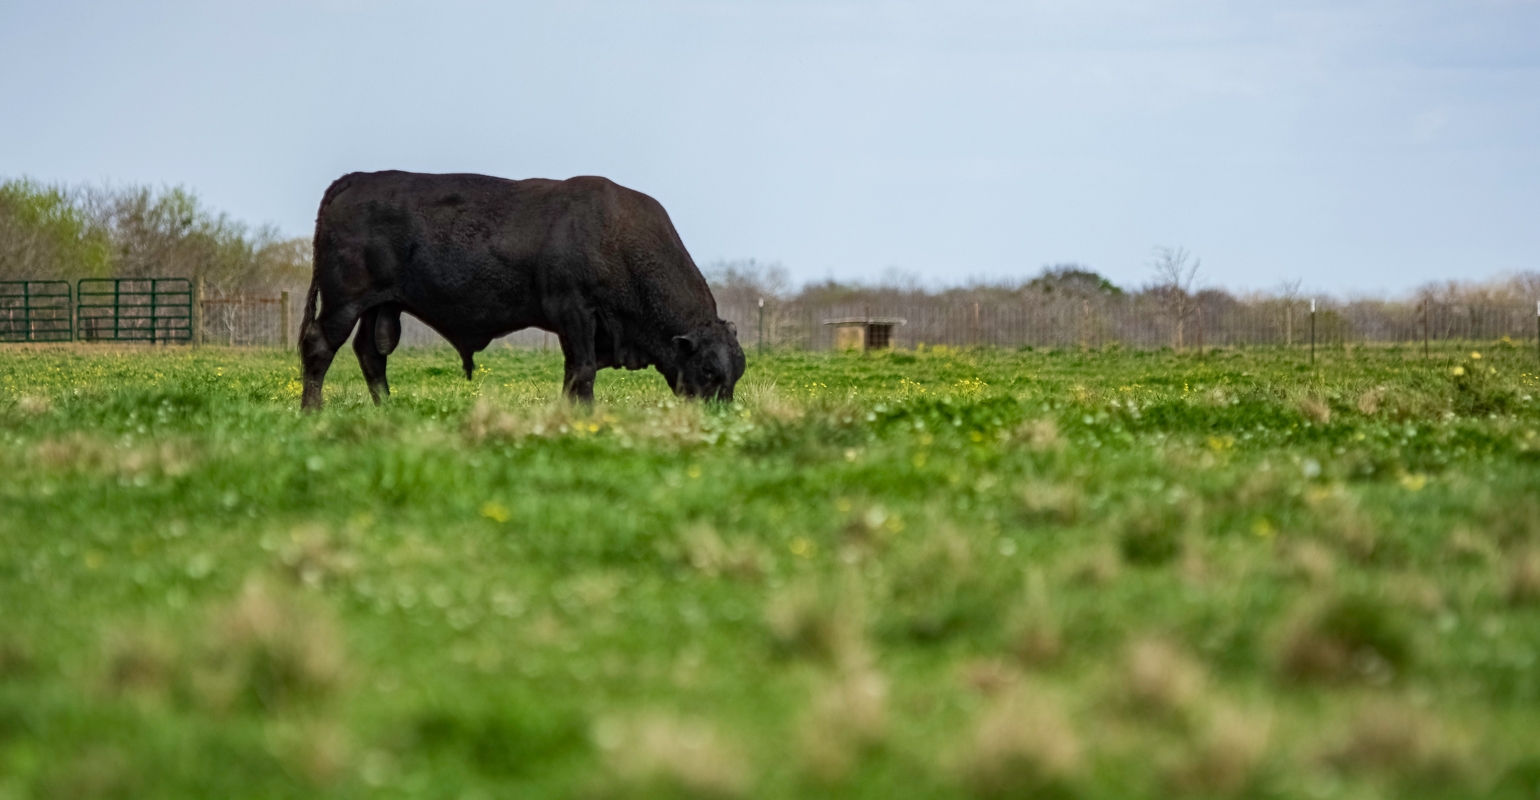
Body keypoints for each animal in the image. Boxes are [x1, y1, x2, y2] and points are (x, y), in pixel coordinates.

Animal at [298, 171, 745, 410]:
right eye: (709, 371)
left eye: (736, 374)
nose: (718, 417)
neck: (613, 236)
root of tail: (358, 179)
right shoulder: (575, 312)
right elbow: (583, 371)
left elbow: (573, 373)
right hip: (344, 302)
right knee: (319, 345)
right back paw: (312, 412)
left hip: (379, 306)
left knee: (371, 355)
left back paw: (388, 410)